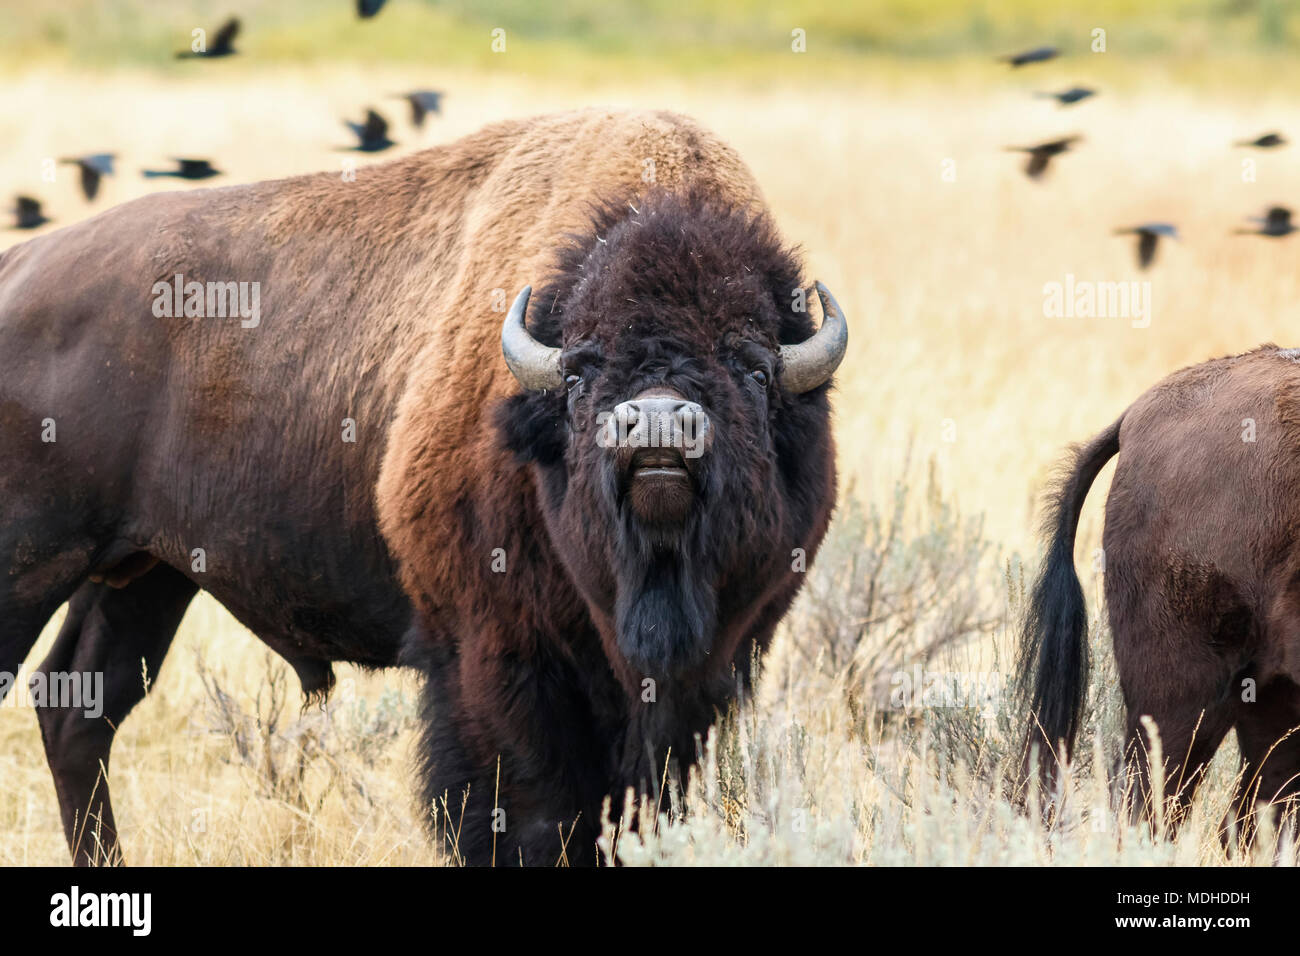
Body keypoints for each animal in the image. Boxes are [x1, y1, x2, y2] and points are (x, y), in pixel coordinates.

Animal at [0, 108, 846, 865]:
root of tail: (18, 269)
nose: (660, 426)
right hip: (38, 564)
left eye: (752, 367)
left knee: (80, 708)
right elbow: (528, 816)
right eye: (581, 371)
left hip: (143, 575)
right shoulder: (493, 658)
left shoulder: (703, 673)